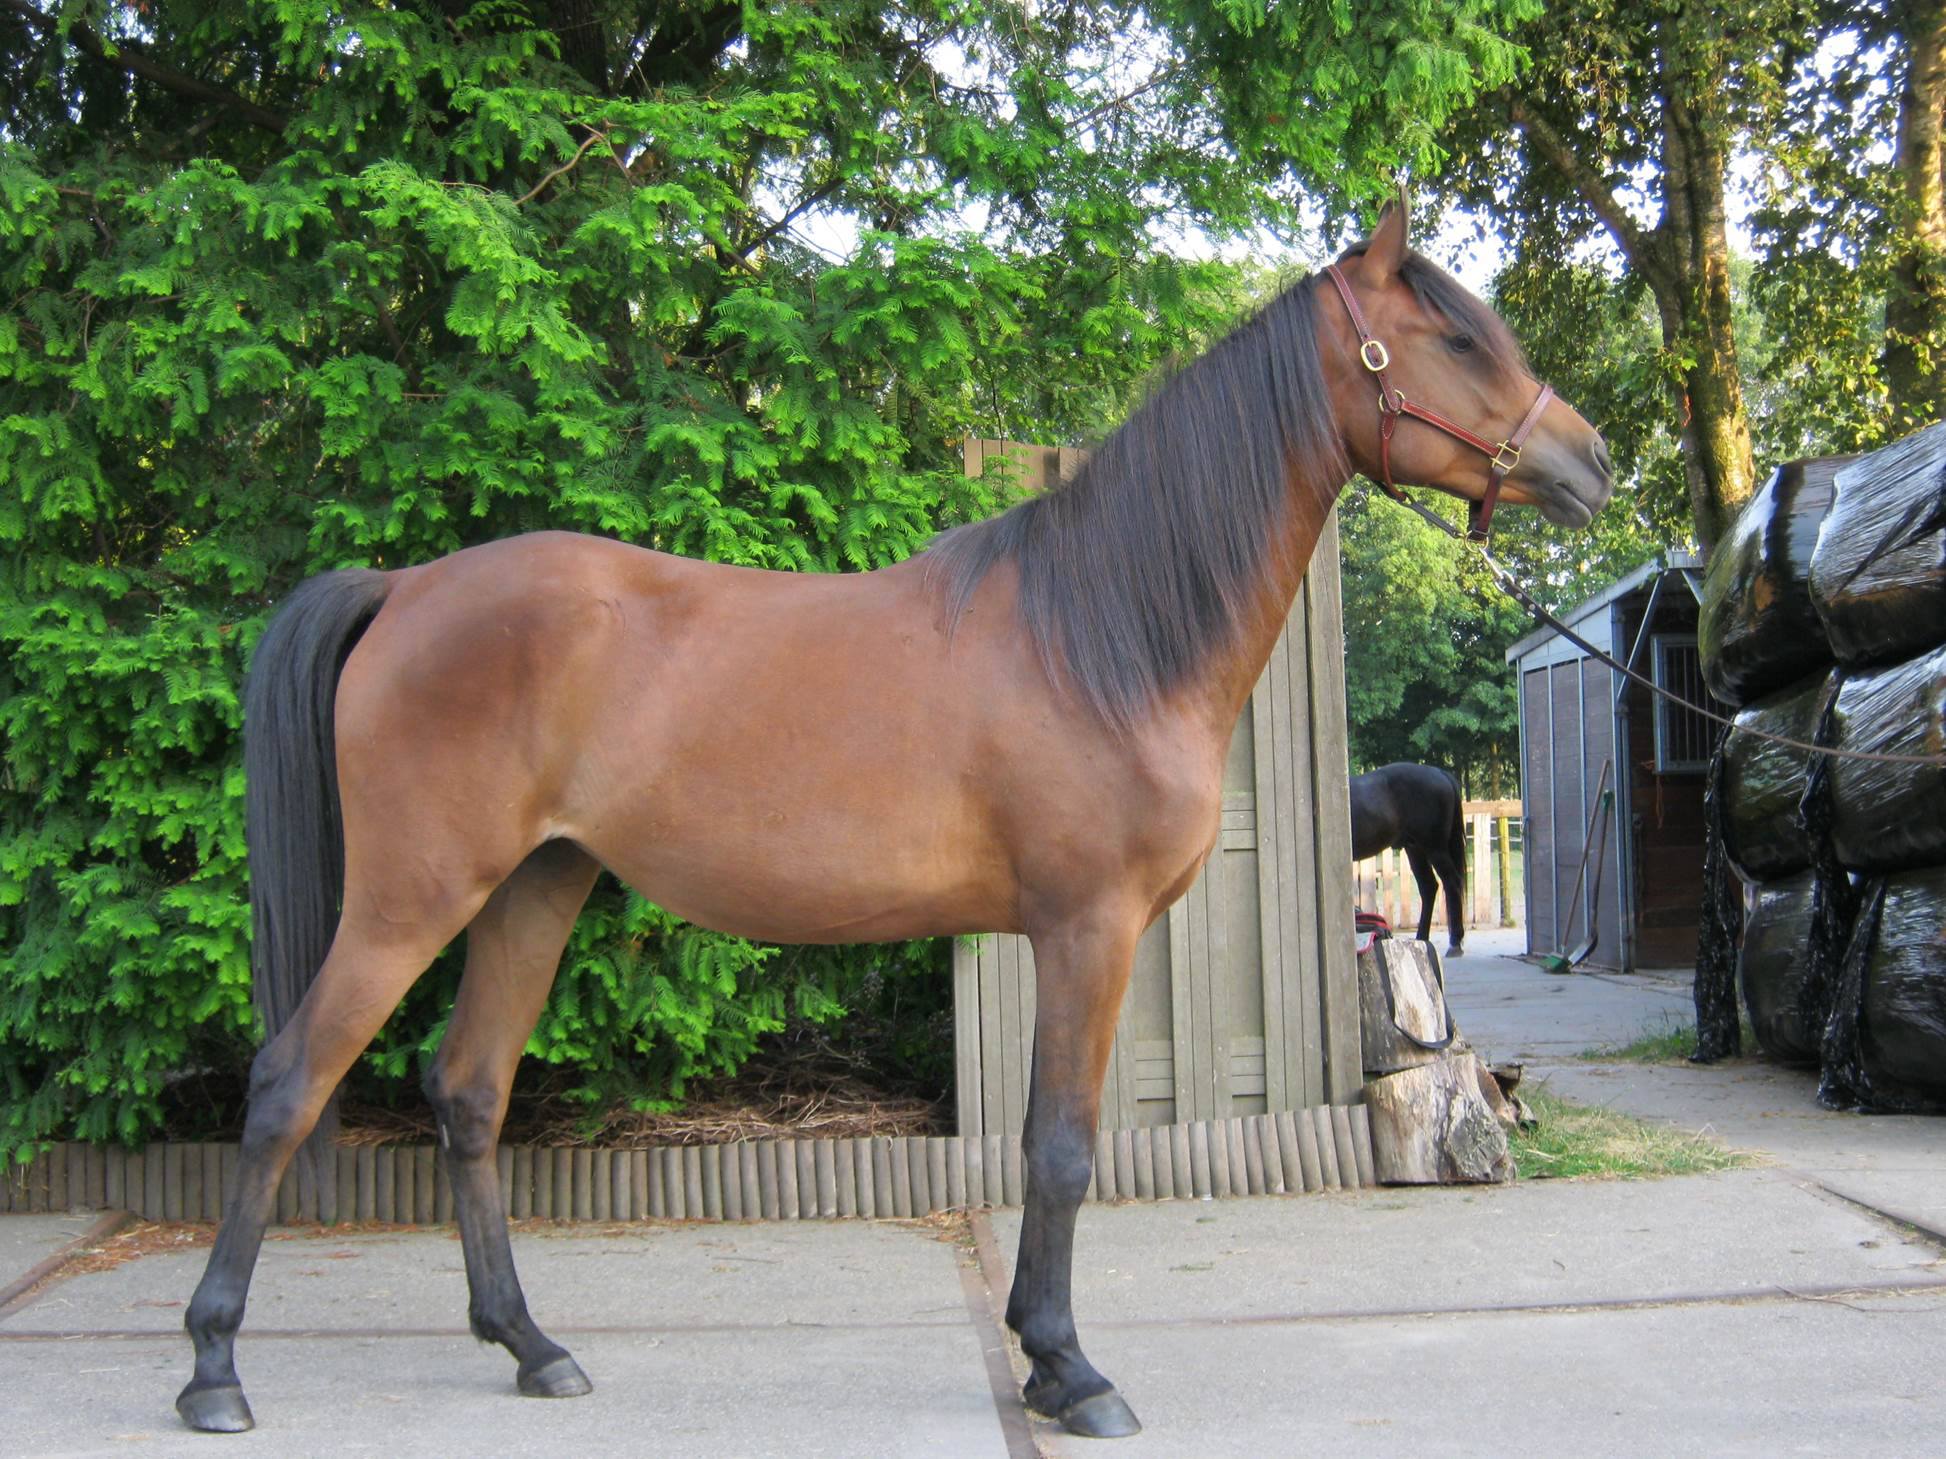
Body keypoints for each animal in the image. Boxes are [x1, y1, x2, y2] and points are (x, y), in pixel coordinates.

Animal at [1350, 763, 1470, 955]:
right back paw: (1421, 938)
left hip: (1434, 848)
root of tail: (1440, 773)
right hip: (1415, 849)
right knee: (1429, 887)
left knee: (1452, 882)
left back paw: (1454, 944)